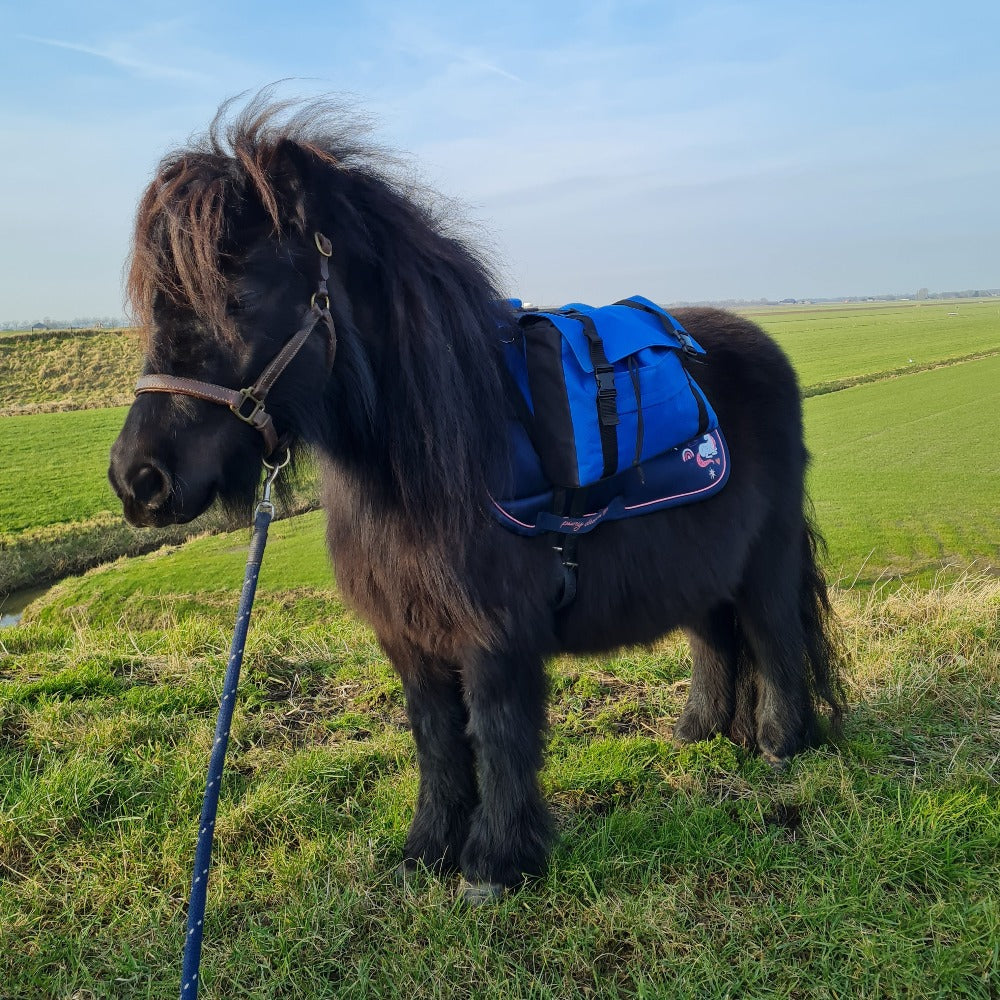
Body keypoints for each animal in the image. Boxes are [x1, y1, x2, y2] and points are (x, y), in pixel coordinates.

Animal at [109, 96, 843, 902]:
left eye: (237, 300)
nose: (138, 480)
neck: (437, 458)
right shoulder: (408, 637)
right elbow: (436, 741)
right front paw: (426, 850)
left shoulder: (494, 635)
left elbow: (496, 734)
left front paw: (494, 861)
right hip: (699, 563)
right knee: (715, 635)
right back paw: (700, 733)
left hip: (767, 555)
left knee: (774, 633)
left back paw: (780, 745)